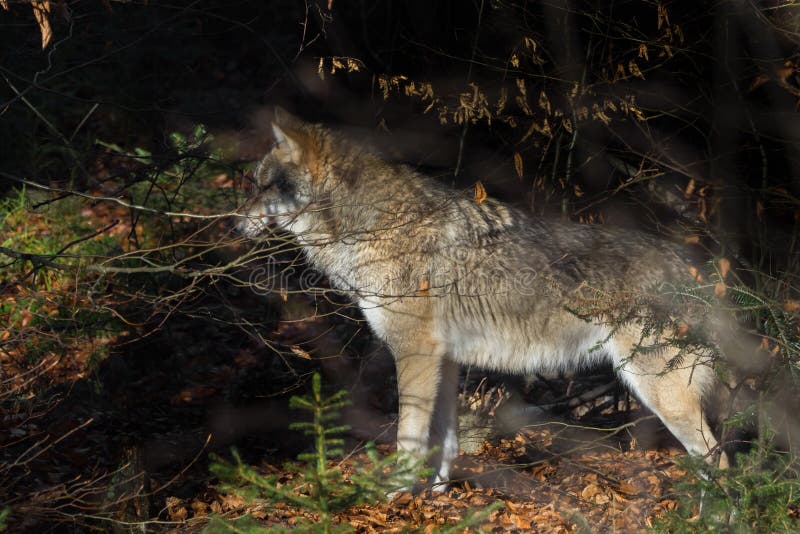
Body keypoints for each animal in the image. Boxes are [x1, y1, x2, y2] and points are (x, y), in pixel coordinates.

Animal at [238, 108, 728, 488]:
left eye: (261, 187)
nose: (234, 224)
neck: (375, 228)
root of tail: (695, 270)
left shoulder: (415, 352)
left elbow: (409, 439)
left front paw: (394, 498)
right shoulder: (446, 360)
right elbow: (446, 442)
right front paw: (436, 500)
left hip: (658, 390)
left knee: (718, 460)